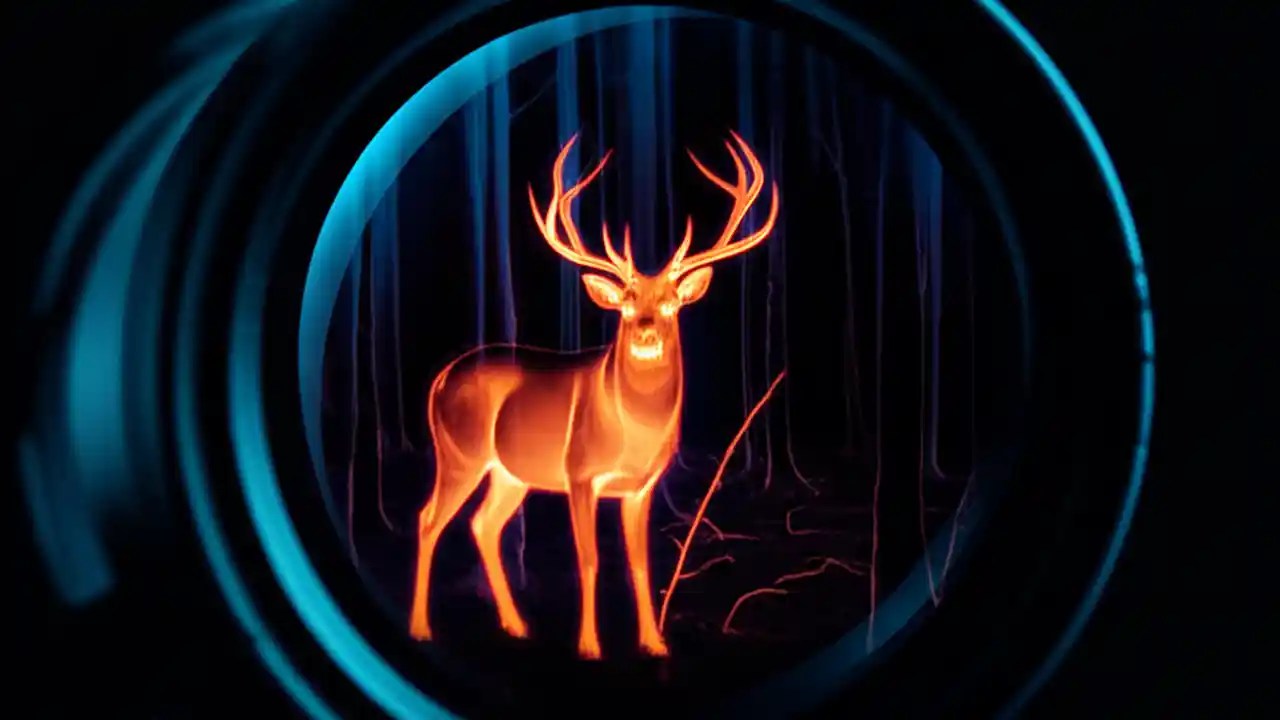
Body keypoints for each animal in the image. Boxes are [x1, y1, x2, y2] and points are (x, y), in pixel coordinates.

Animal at [409, 130, 778, 659]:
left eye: (670, 302)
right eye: (625, 302)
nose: (646, 331)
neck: (633, 428)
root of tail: (440, 377)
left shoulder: (642, 485)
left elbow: (640, 563)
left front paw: (654, 643)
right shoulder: (580, 472)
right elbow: (588, 558)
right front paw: (589, 646)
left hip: (510, 472)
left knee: (483, 524)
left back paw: (516, 625)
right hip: (460, 455)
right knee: (428, 519)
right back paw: (421, 627)